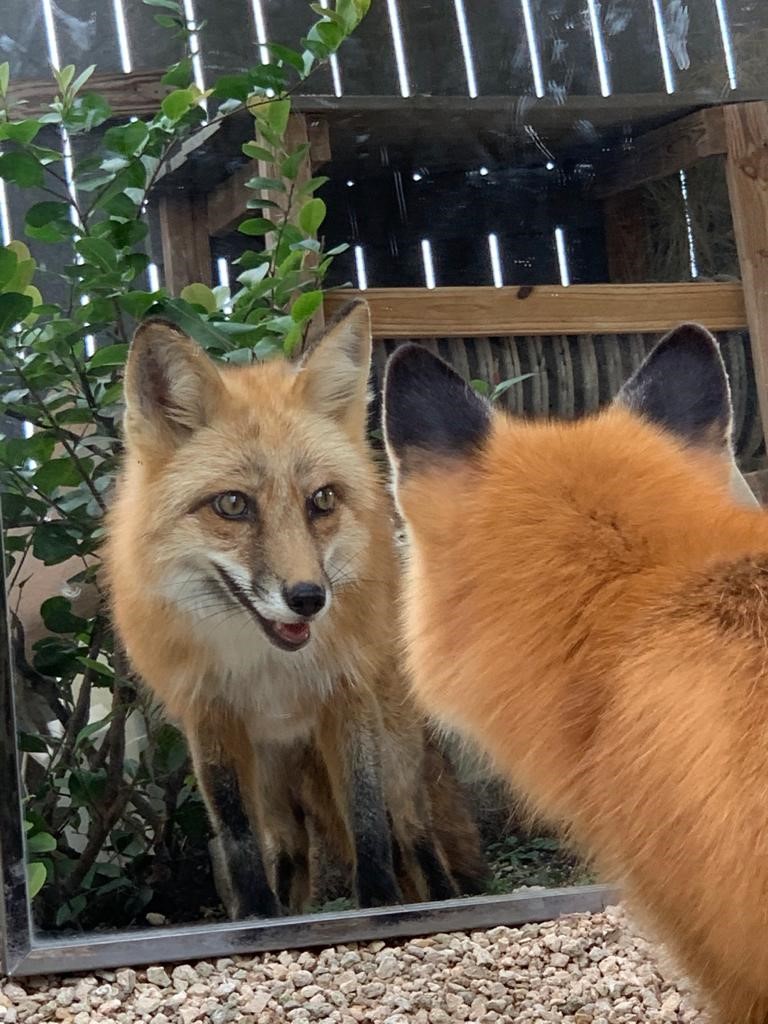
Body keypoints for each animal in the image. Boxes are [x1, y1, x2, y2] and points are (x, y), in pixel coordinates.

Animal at [103, 300, 486, 919]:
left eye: (322, 499)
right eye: (233, 505)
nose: (309, 598)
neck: (271, 673)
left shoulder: (347, 696)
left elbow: (367, 822)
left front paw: (377, 904)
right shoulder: (211, 718)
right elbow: (238, 838)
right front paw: (257, 917)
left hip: (397, 745)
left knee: (411, 828)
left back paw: (439, 900)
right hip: (273, 777)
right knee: (289, 848)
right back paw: (287, 907)